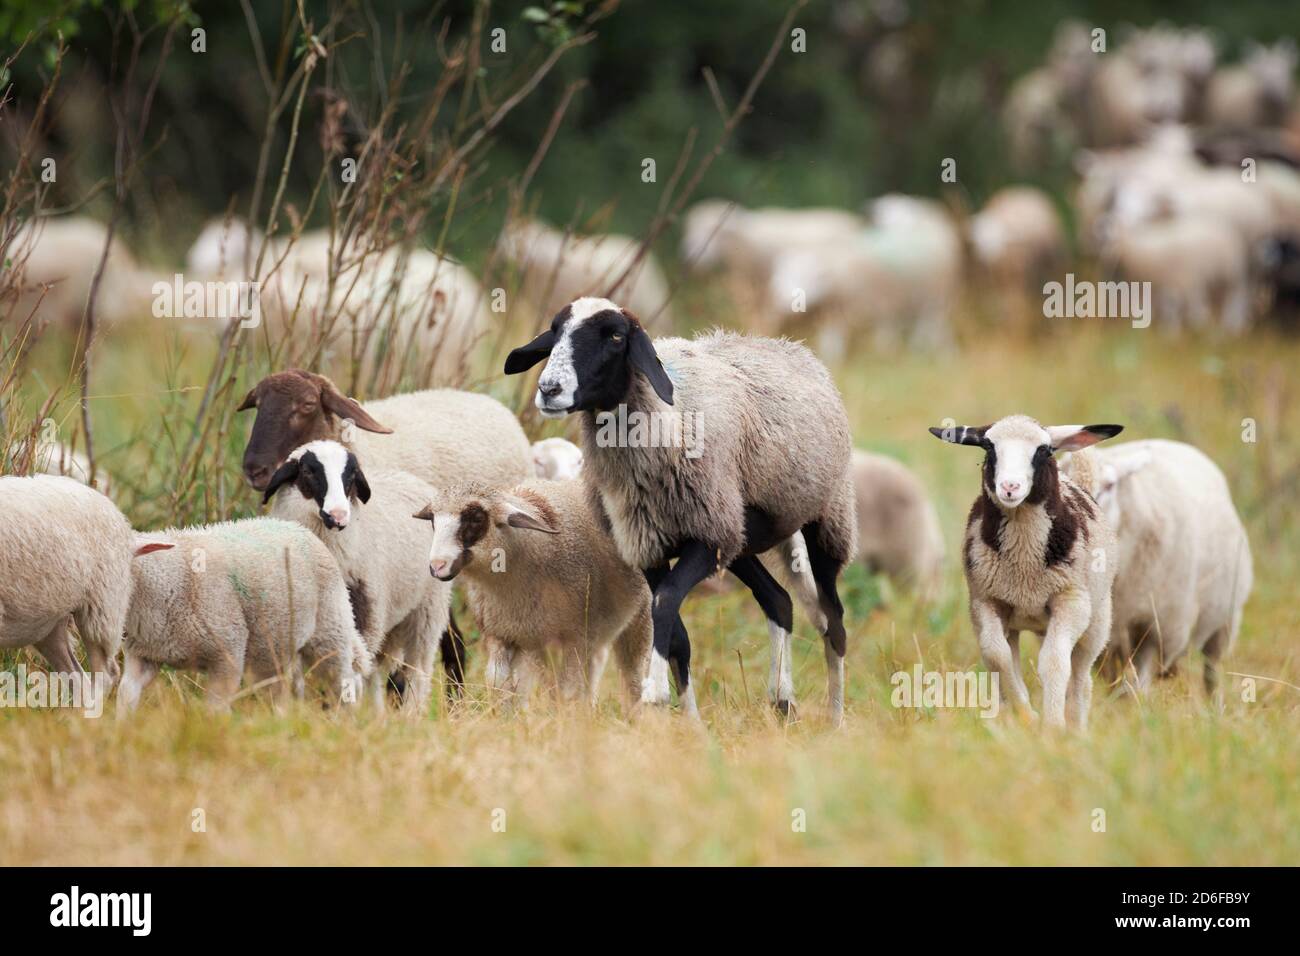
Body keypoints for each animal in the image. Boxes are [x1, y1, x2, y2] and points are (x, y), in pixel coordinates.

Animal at [119, 517, 369, 713]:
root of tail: (296, 526)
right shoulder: (143, 654)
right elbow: (127, 693)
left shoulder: (228, 652)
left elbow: (216, 708)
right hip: (274, 648)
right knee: (285, 689)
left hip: (330, 630)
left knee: (345, 681)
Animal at [264, 440, 452, 714]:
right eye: (307, 472)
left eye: (351, 475)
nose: (338, 516)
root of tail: (411, 478)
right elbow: (296, 675)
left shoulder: (365, 611)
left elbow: (350, 671)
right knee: (377, 670)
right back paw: (378, 715)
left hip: (427, 609)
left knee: (416, 670)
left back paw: (409, 715)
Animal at [415, 478, 653, 712]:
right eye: (433, 521)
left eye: (476, 518)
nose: (437, 566)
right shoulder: (502, 634)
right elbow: (499, 683)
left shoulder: (576, 637)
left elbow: (568, 690)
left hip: (637, 617)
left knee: (631, 673)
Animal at [505, 297, 857, 723]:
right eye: (556, 331)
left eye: (616, 336)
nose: (549, 389)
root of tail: (793, 346)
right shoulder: (649, 545)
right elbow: (677, 636)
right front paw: (692, 724)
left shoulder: (704, 541)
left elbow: (665, 601)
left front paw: (655, 690)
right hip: (736, 533)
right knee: (779, 601)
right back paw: (782, 698)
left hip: (825, 519)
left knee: (833, 622)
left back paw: (835, 718)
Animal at [931, 416, 1122, 729]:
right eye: (989, 447)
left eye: (1043, 450)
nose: (1010, 486)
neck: (1025, 568)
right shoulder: (986, 601)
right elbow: (998, 657)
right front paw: (1027, 716)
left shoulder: (1072, 601)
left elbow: (1054, 662)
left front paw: (1053, 725)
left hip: (1098, 619)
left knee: (1081, 676)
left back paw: (1076, 725)